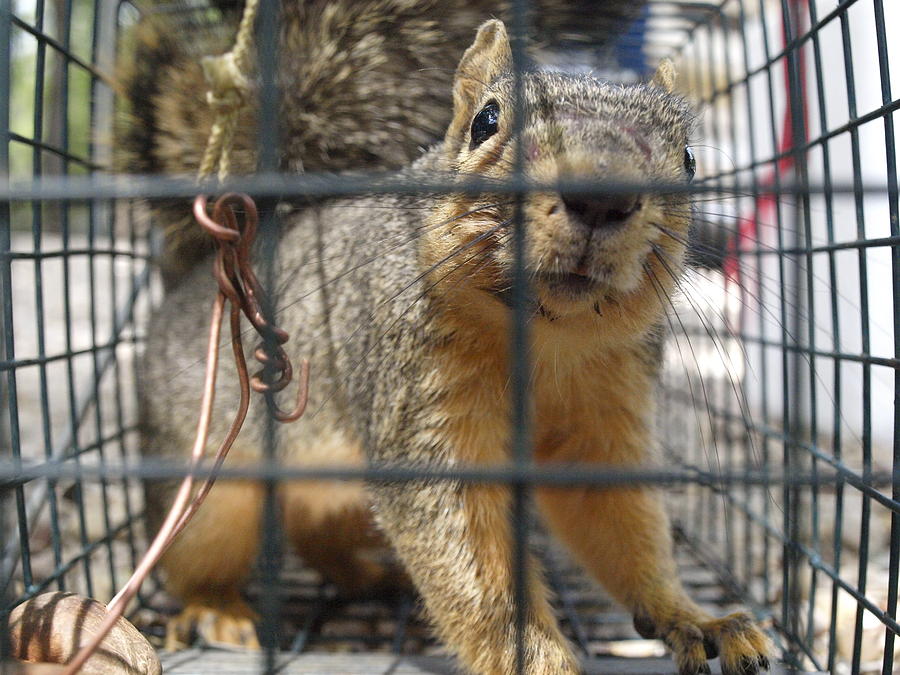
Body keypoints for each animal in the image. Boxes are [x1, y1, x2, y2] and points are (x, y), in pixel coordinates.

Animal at [128, 7, 775, 675]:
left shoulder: (603, 413)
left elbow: (619, 520)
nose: (602, 193)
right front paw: (536, 658)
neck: (543, 336)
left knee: (317, 534)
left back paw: (369, 574)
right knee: (194, 556)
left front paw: (691, 615)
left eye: (690, 158)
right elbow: (470, 560)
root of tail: (218, 269)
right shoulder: (419, 402)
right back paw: (217, 608)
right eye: (485, 122)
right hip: (208, 486)